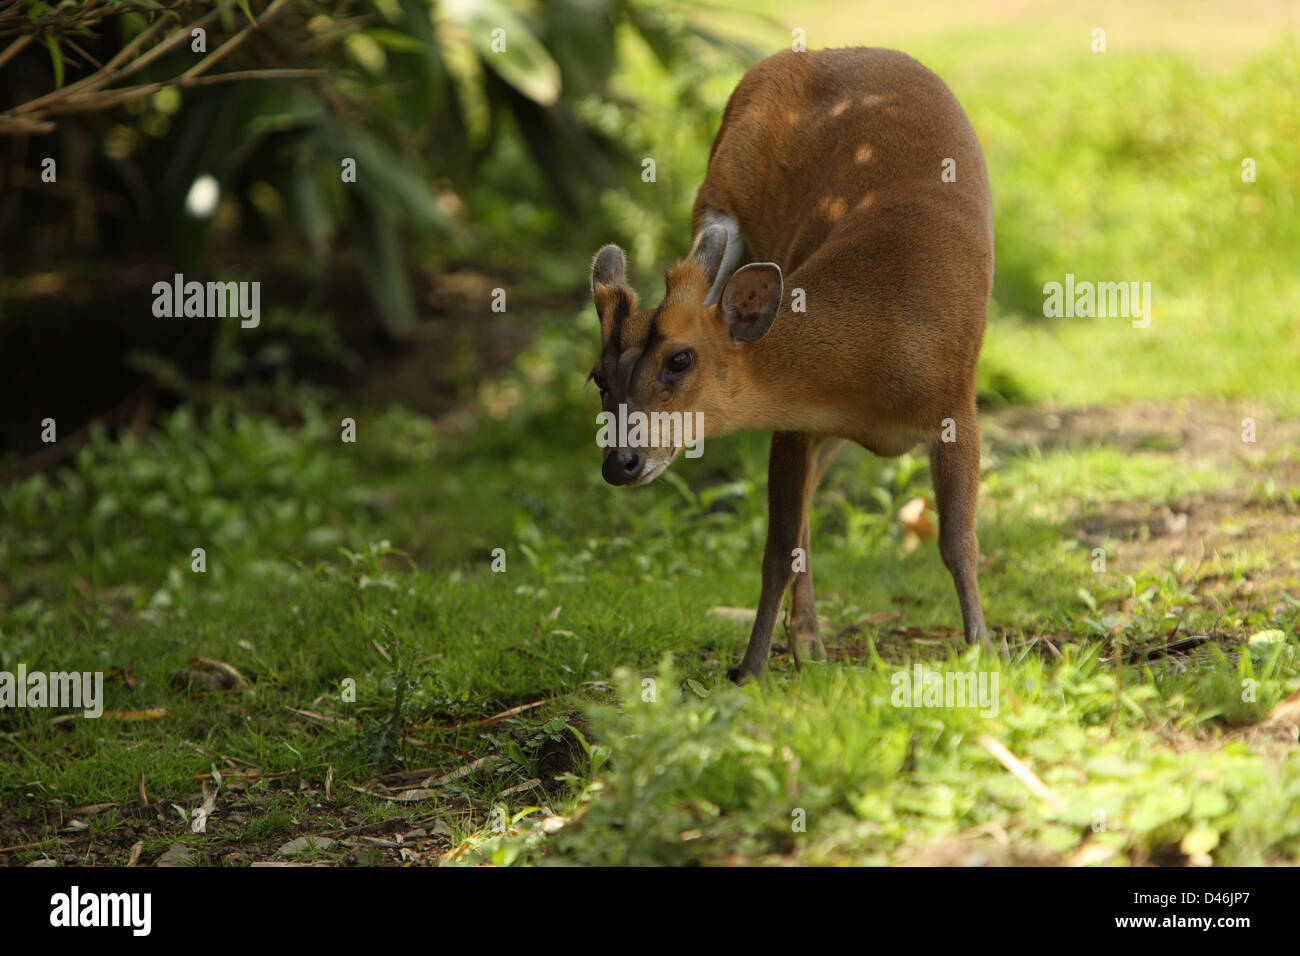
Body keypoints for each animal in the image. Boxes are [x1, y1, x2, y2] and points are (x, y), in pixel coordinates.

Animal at [588, 47, 996, 681]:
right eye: (598, 379)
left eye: (680, 360)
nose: (620, 462)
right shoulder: (796, 422)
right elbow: (781, 547)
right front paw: (751, 668)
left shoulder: (957, 405)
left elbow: (959, 541)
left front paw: (983, 648)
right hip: (718, 194)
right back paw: (809, 644)